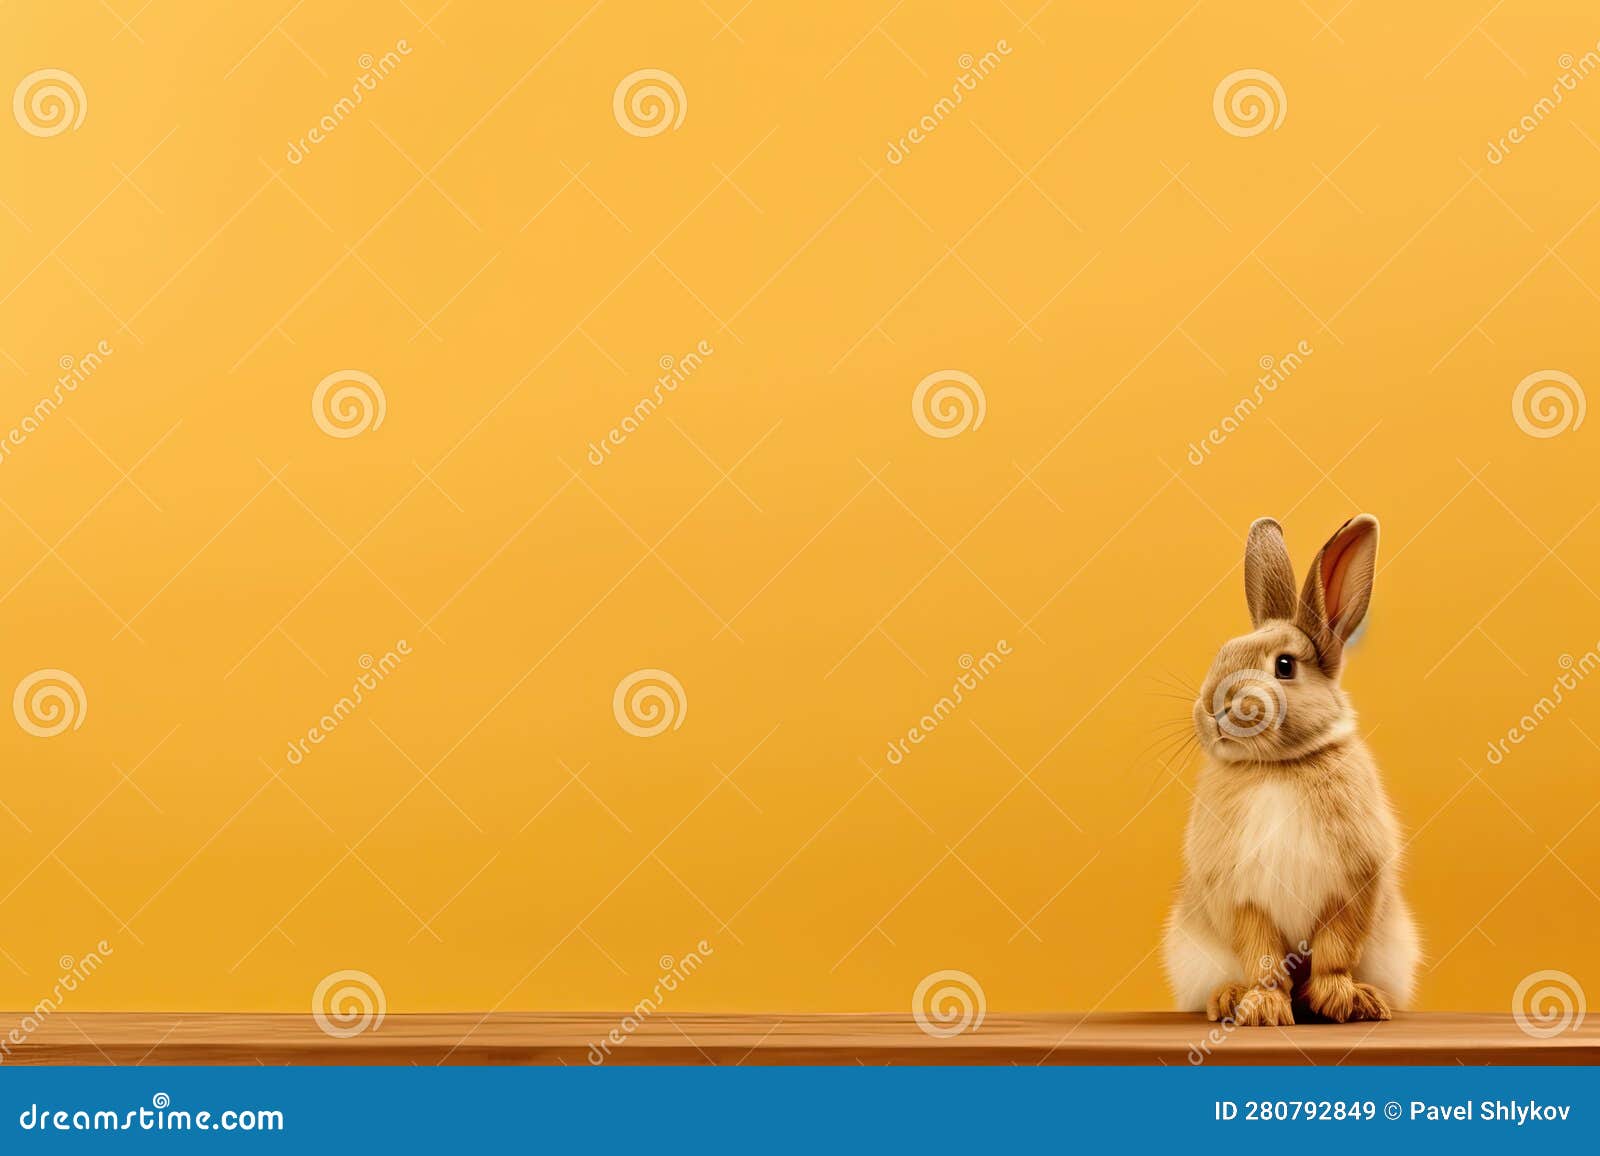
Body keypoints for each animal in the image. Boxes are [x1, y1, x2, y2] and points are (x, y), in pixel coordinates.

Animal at [1161, 514, 1419, 1025]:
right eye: (1223, 654)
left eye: (1284, 666)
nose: (1213, 707)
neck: (1277, 768)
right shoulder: (1242, 898)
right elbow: (1261, 954)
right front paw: (1261, 1009)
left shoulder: (1351, 888)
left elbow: (1335, 950)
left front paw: (1341, 1000)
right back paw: (1228, 998)